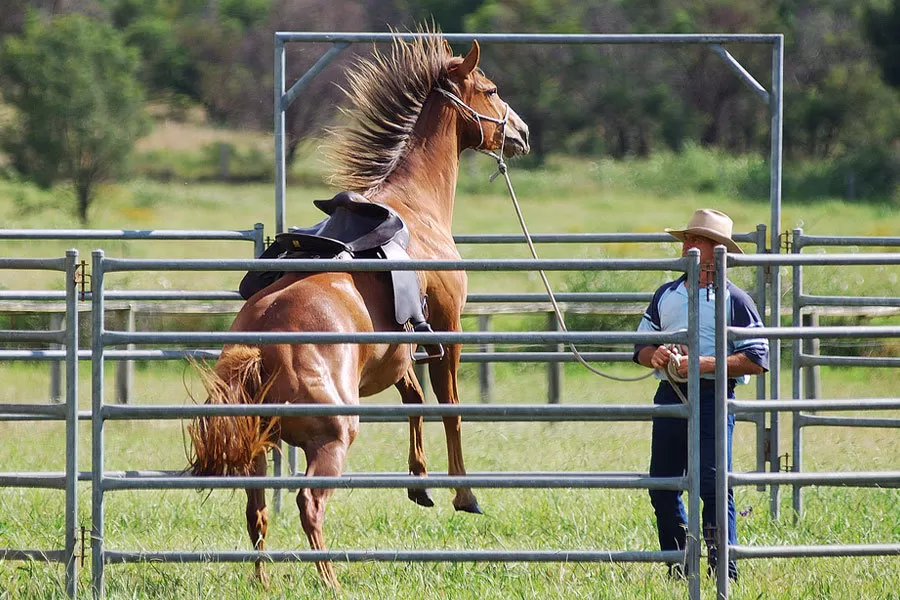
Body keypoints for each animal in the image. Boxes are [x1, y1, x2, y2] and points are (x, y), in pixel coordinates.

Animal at [188, 30, 528, 588]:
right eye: (492, 89)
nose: (521, 131)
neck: (416, 206)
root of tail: (259, 346)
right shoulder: (447, 328)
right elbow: (449, 407)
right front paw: (464, 494)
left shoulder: (398, 350)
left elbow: (414, 398)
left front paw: (420, 482)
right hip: (332, 438)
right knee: (308, 503)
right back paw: (329, 579)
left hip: (258, 447)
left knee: (256, 511)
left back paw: (264, 581)